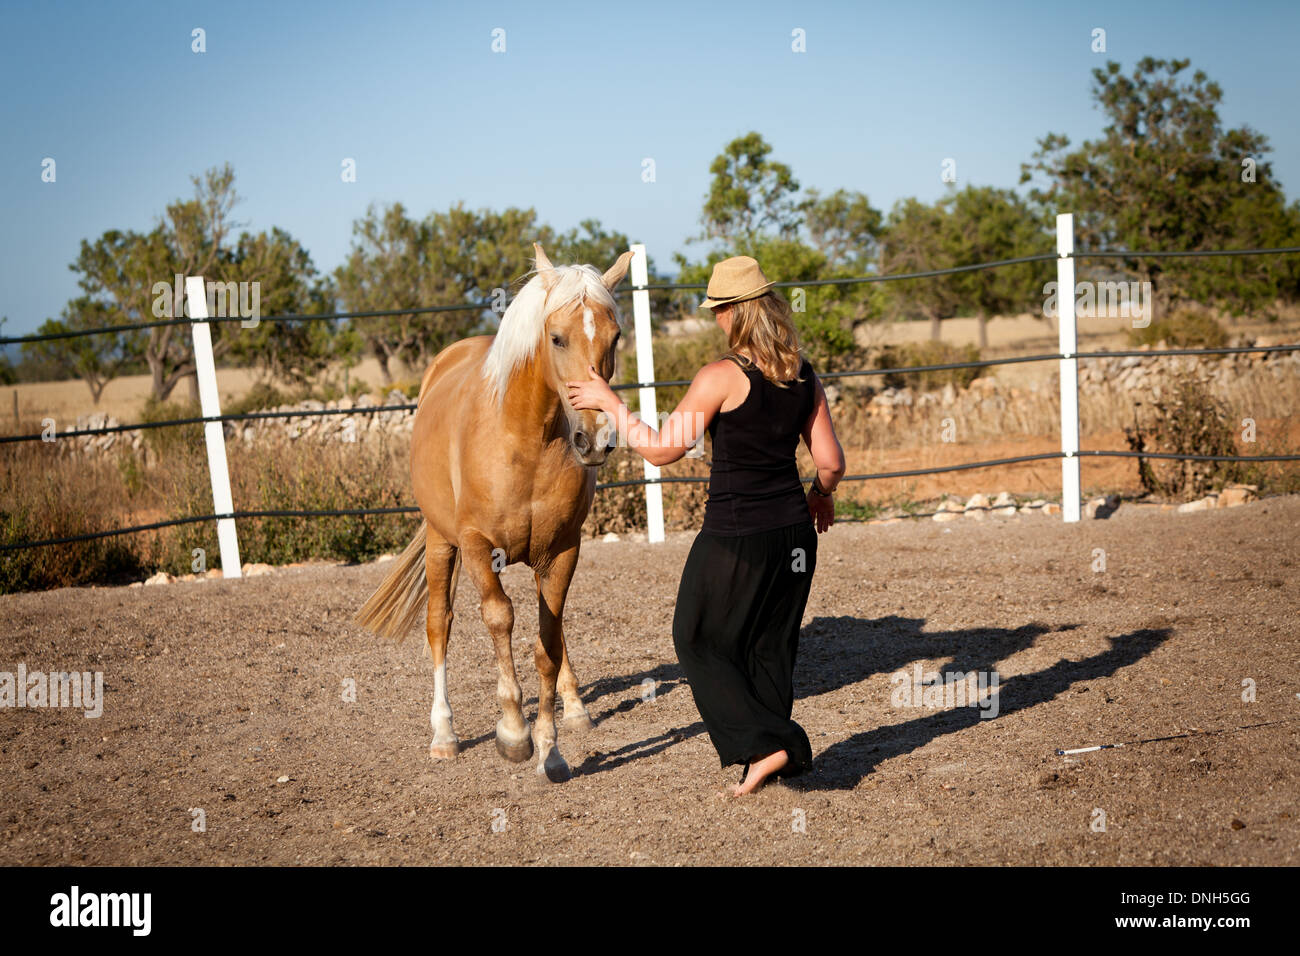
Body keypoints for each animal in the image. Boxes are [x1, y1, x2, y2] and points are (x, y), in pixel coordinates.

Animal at [354, 243, 633, 783]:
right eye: (556, 337)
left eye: (614, 337)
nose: (595, 439)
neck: (526, 438)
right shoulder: (479, 547)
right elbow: (499, 618)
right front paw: (513, 732)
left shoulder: (564, 549)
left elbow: (548, 641)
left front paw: (551, 747)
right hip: (441, 542)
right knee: (439, 623)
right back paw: (444, 734)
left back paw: (576, 707)